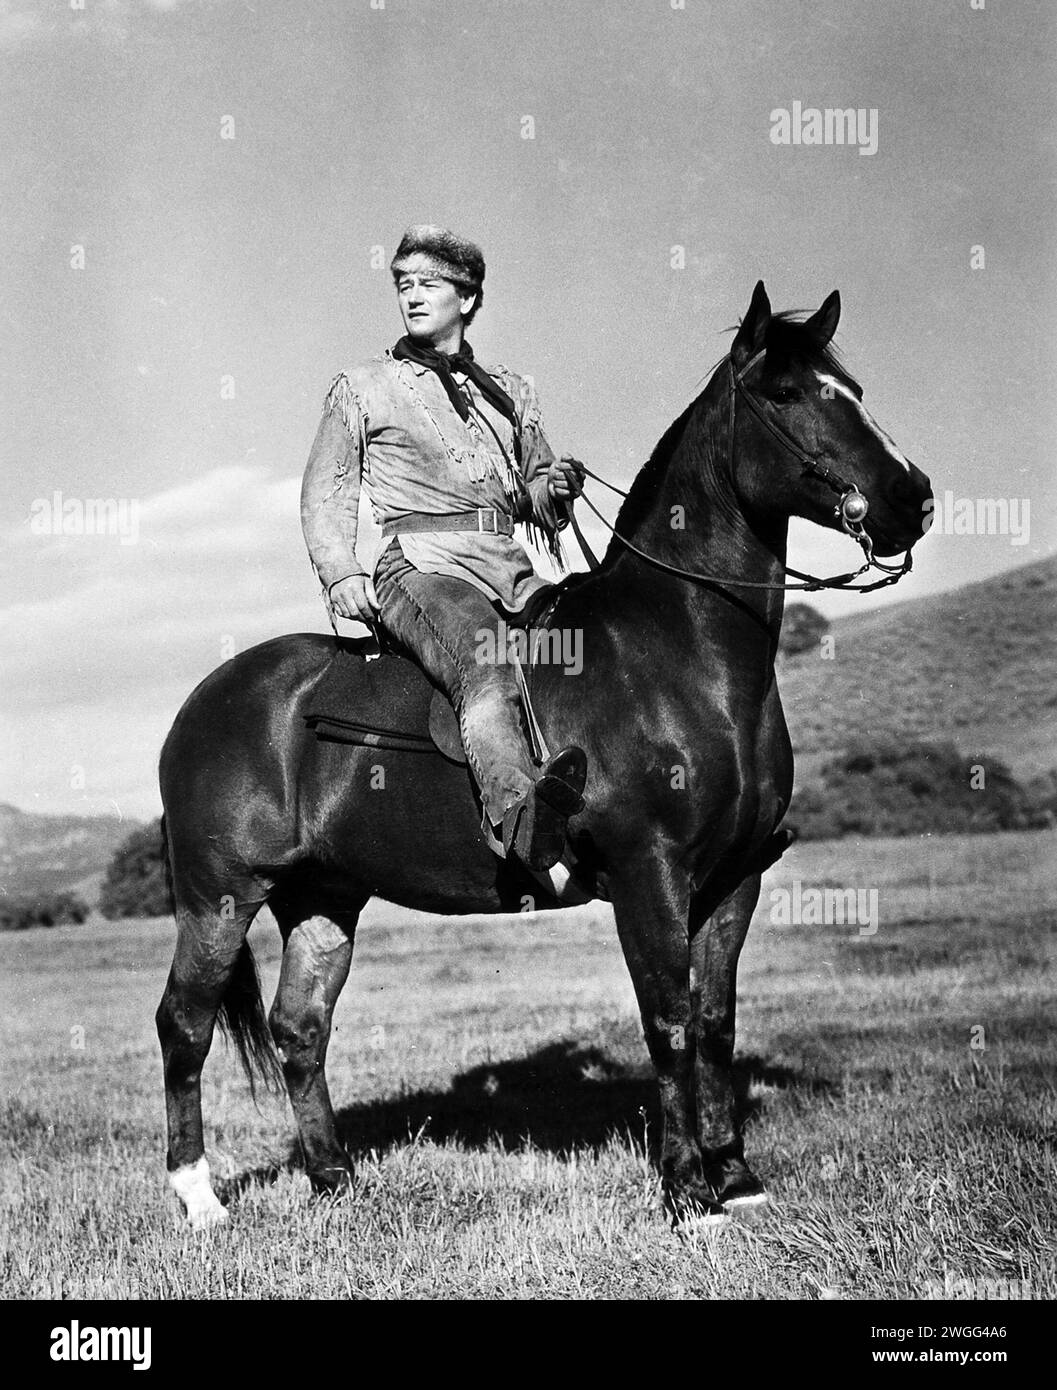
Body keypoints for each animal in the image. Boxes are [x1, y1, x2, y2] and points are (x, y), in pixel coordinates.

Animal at [156, 281, 933, 1229]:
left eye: (850, 387)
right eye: (786, 394)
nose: (912, 499)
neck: (675, 654)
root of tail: (204, 703)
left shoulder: (732, 878)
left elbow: (715, 1022)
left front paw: (736, 1176)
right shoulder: (649, 873)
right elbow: (668, 1020)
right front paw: (685, 1189)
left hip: (322, 898)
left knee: (299, 1028)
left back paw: (334, 1182)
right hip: (219, 897)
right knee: (185, 1025)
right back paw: (199, 1198)